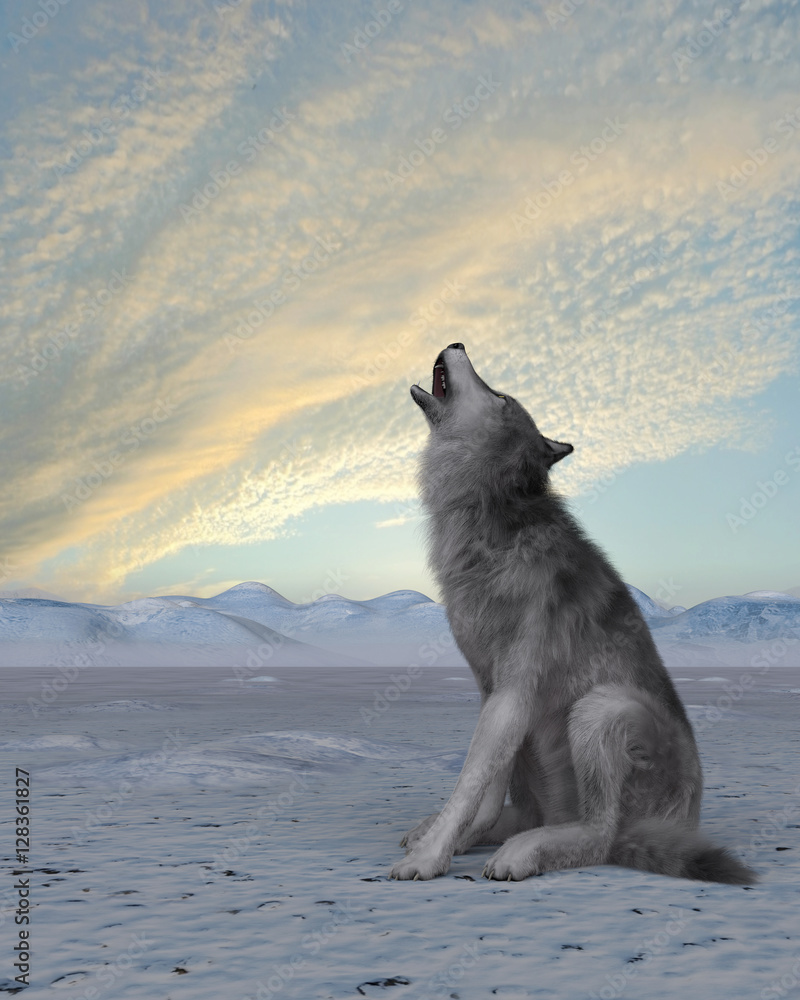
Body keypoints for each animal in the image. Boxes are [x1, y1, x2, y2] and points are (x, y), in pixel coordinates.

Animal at [389, 343, 755, 883]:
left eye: (501, 395)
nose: (457, 344)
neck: (490, 520)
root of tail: (684, 824)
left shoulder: (513, 691)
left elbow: (470, 782)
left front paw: (428, 859)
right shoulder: (490, 689)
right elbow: (484, 790)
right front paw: (448, 838)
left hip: (600, 708)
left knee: (599, 836)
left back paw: (522, 851)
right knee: (533, 814)